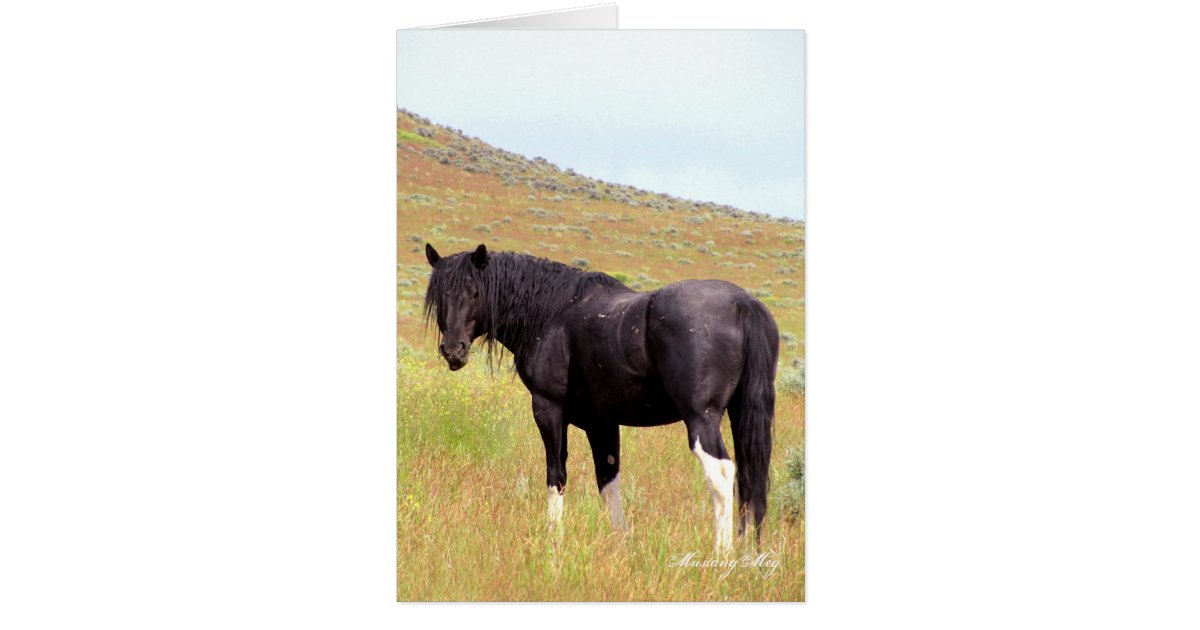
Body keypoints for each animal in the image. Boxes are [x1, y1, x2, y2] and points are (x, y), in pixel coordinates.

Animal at [422, 243, 779, 552]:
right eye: (441, 295)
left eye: (475, 292)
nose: (453, 350)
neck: (551, 312)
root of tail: (742, 304)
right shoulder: (602, 423)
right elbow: (608, 482)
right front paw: (622, 545)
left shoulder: (548, 408)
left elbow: (556, 476)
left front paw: (554, 544)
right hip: (740, 414)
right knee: (748, 480)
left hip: (701, 418)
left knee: (722, 475)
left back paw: (723, 555)